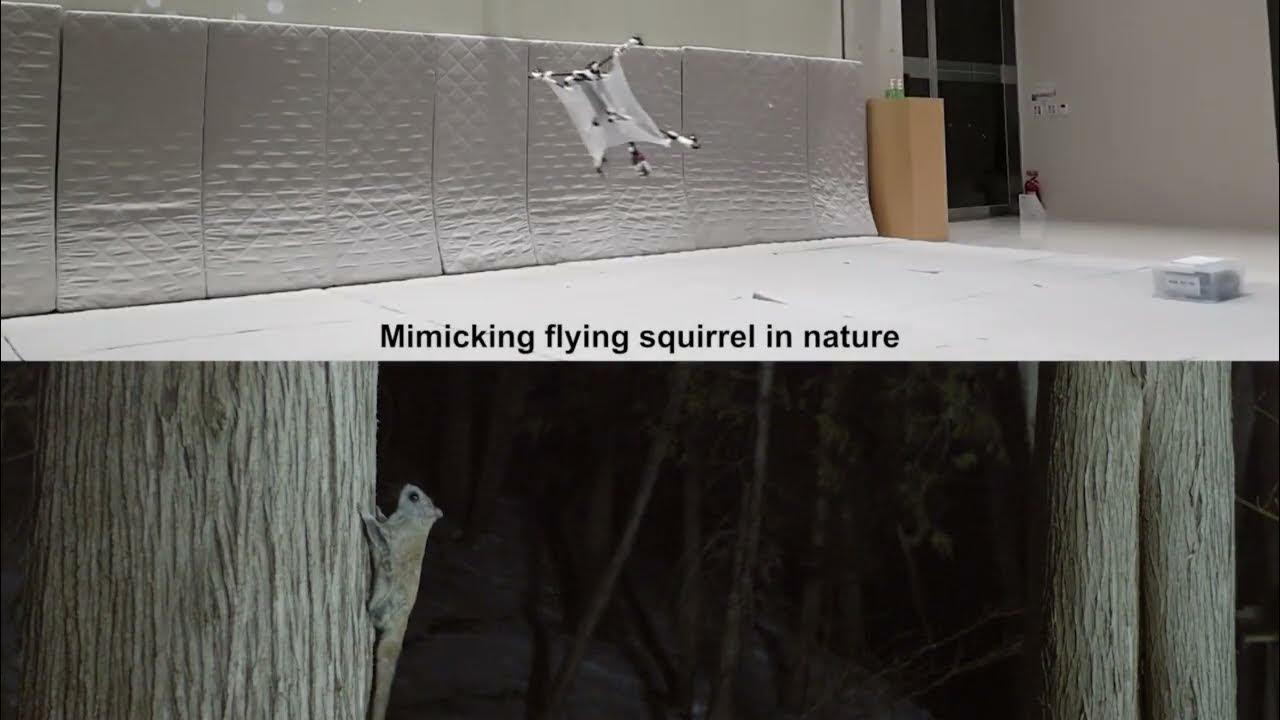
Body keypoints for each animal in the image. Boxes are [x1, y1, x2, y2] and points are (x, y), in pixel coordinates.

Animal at [362, 484, 443, 720]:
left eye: (414, 497)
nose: (408, 486)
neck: (412, 522)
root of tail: (402, 623)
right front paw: (378, 510)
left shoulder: (392, 538)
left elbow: (377, 534)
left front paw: (365, 513)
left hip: (389, 598)